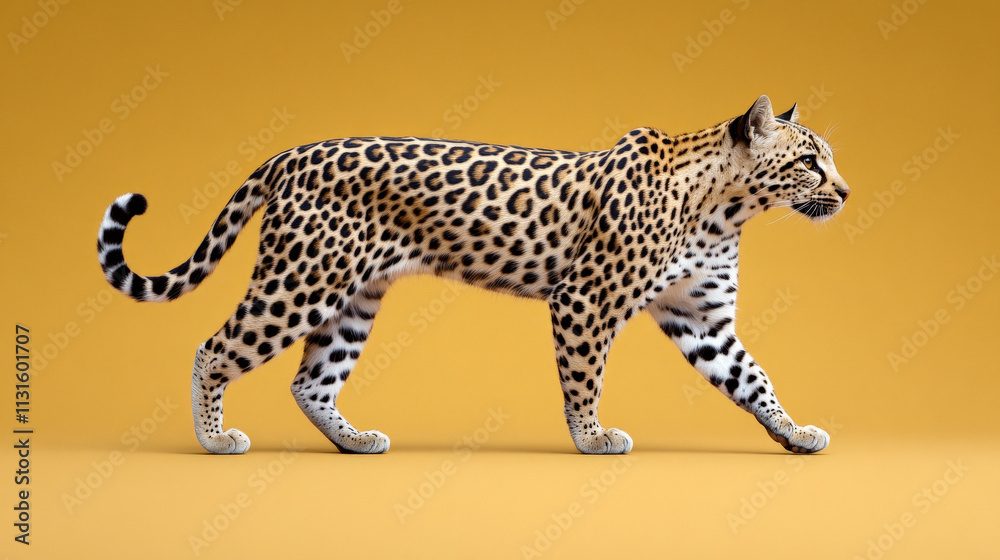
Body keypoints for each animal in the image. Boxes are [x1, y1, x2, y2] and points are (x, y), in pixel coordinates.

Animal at [96, 95, 849, 455]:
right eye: (811, 162)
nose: (845, 193)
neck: (727, 210)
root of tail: (292, 153)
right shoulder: (585, 299)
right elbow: (585, 377)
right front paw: (592, 438)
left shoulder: (702, 317)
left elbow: (753, 379)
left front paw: (794, 434)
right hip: (302, 281)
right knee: (213, 349)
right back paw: (215, 439)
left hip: (353, 299)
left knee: (311, 381)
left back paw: (354, 442)